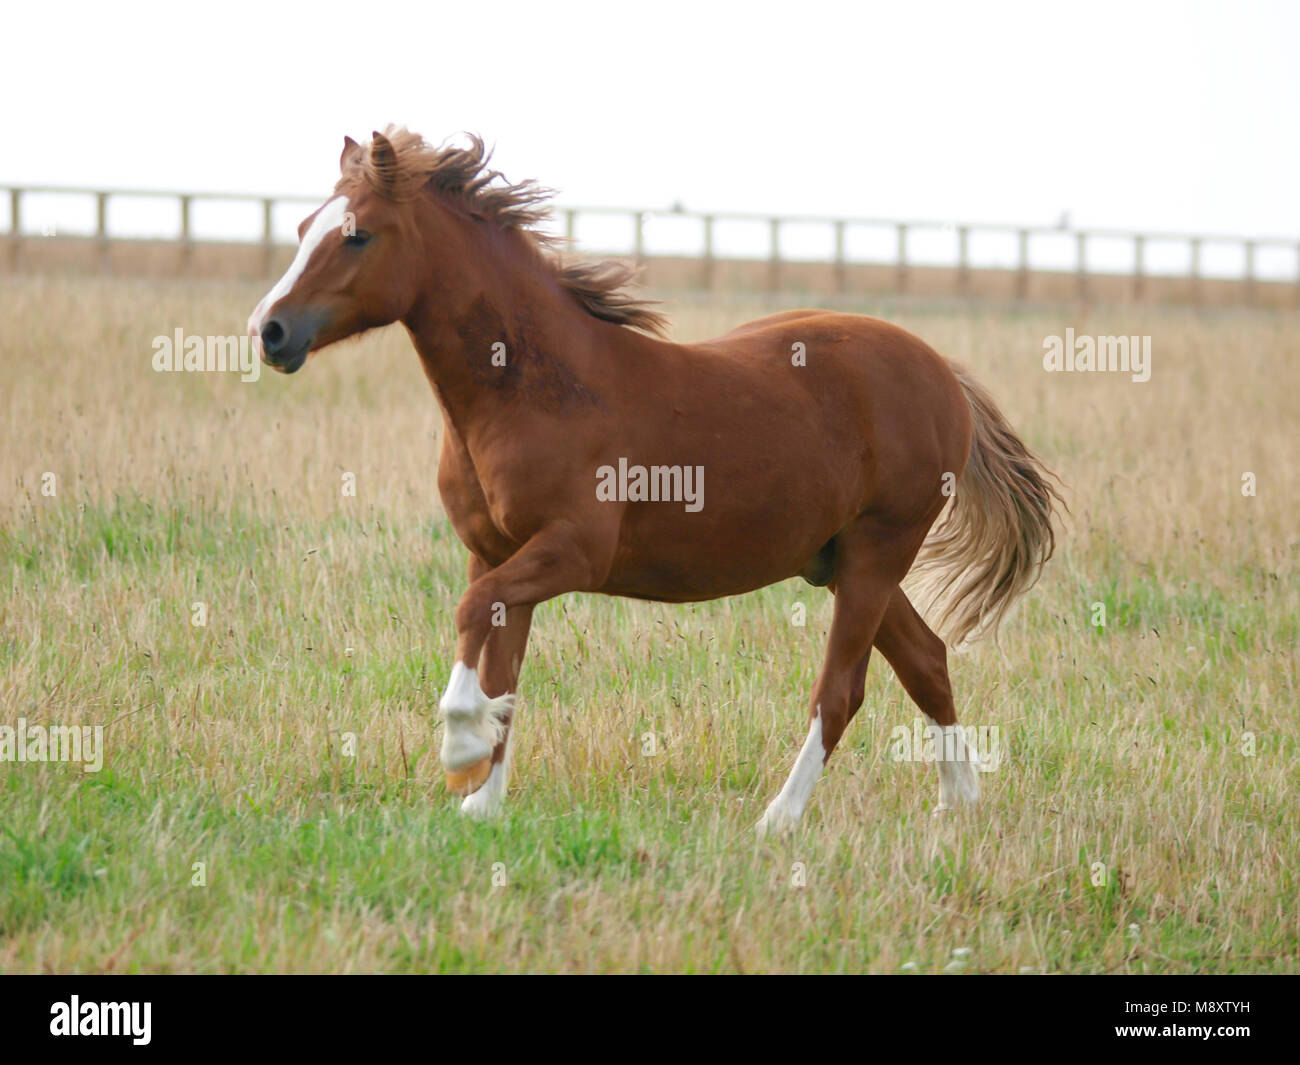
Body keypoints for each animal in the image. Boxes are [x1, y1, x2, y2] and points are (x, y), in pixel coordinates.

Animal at [246, 128, 1063, 833]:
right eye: (303, 229)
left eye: (357, 234)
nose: (270, 331)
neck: (536, 390)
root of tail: (944, 375)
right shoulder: (494, 553)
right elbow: (501, 668)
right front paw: (482, 802)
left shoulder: (573, 553)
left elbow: (472, 617)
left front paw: (460, 751)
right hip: (839, 560)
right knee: (927, 660)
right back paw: (959, 801)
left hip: (876, 551)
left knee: (842, 690)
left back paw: (779, 819)